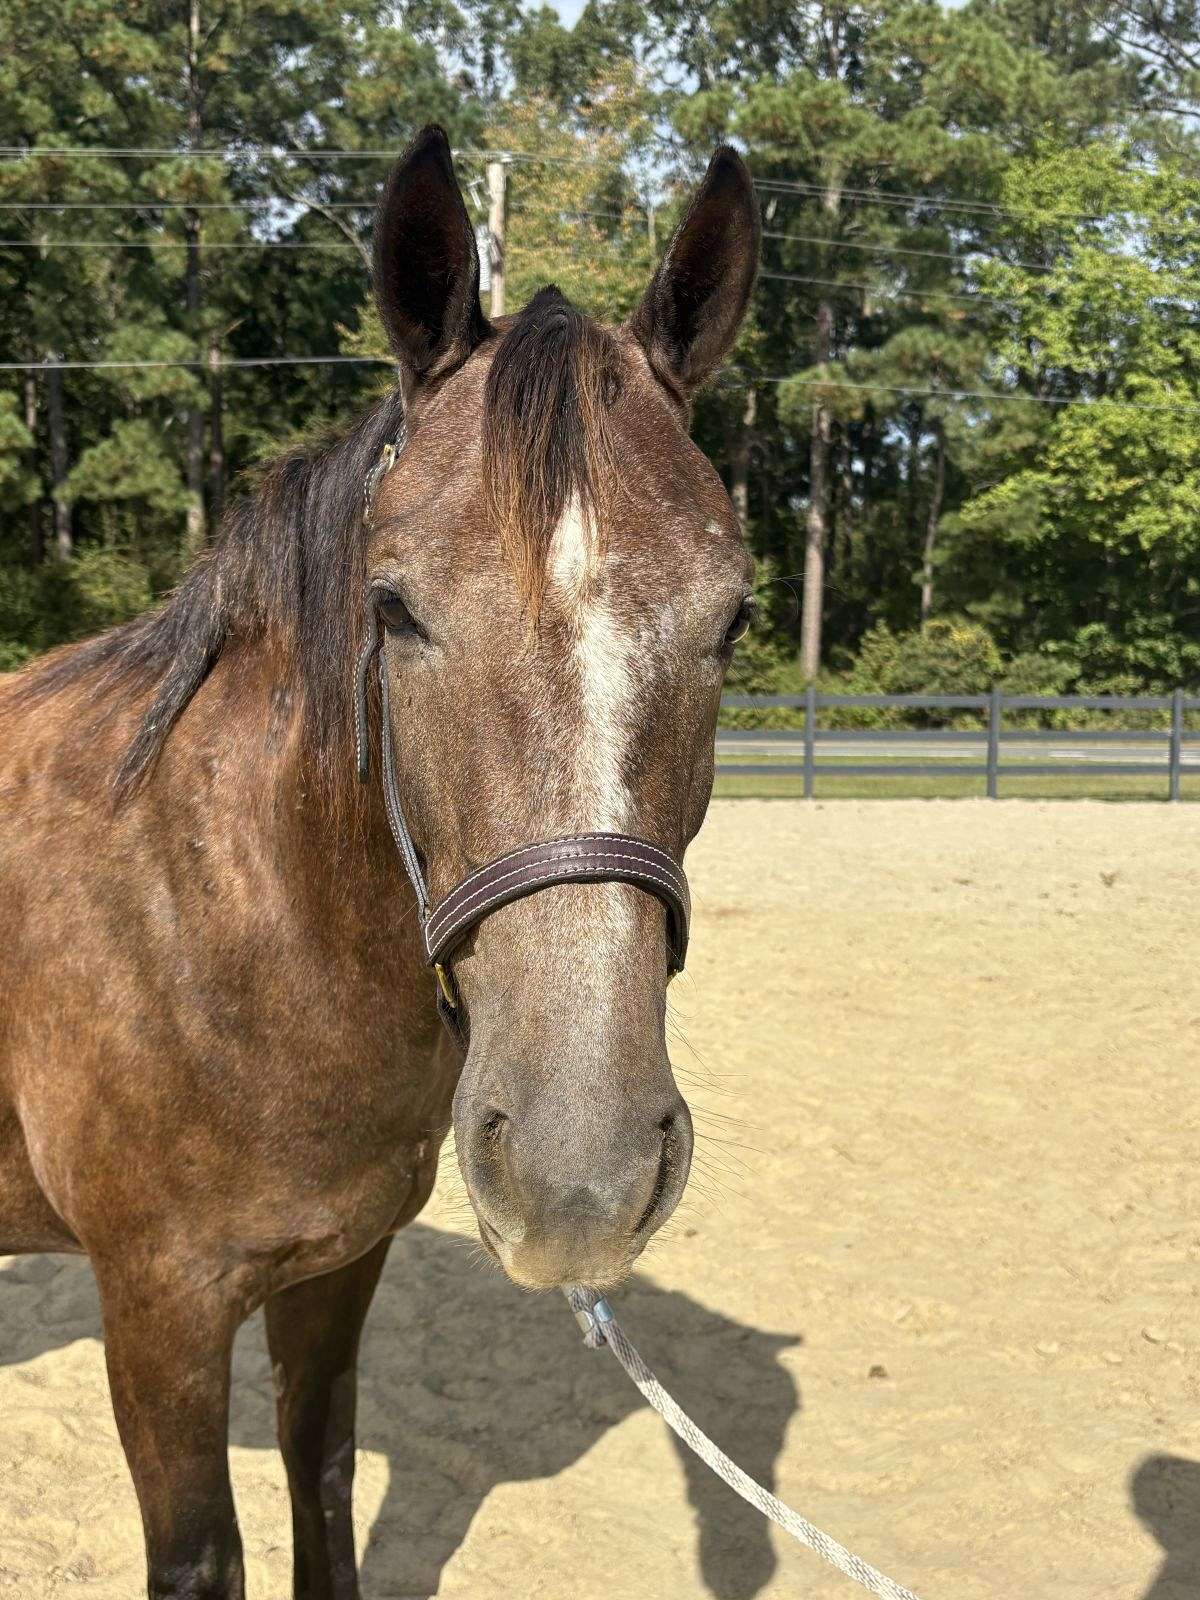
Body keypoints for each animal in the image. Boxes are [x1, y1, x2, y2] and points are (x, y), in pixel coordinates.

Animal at [0, 124, 761, 1599]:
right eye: (394, 609)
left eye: (734, 618)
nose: (581, 1175)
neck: (217, 924)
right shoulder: (159, 1309)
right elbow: (205, 1556)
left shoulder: (337, 1270)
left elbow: (325, 1486)